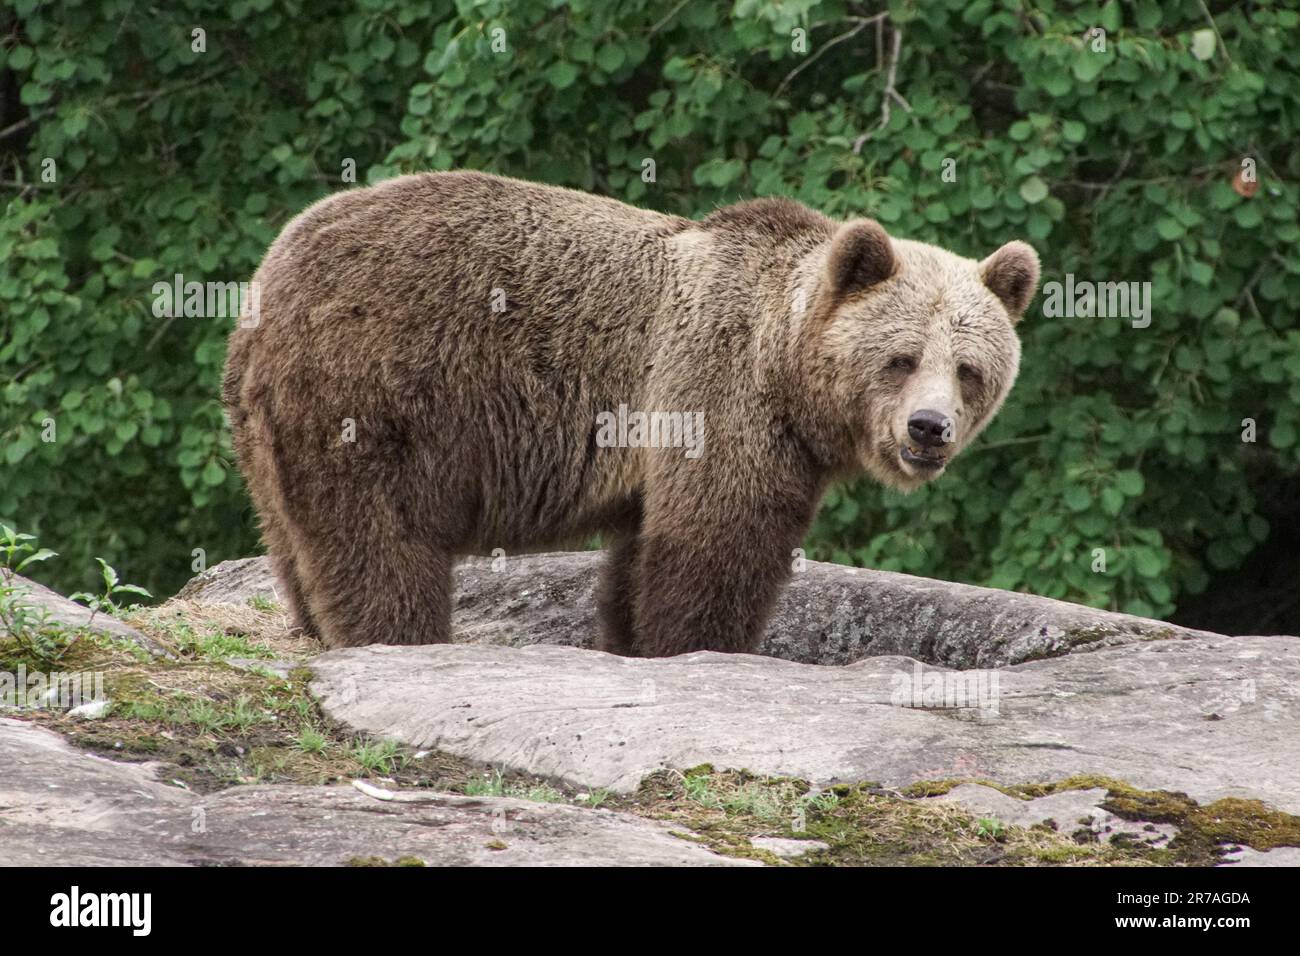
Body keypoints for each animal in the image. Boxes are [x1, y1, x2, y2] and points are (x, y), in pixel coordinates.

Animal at [222, 171, 1039, 657]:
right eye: (901, 357)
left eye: (968, 369)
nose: (928, 429)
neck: (786, 369)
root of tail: (268, 281)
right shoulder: (712, 387)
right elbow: (719, 539)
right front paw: (705, 646)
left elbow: (640, 556)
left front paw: (630, 639)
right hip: (379, 389)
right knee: (381, 531)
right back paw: (397, 636)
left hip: (264, 425)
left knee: (290, 532)